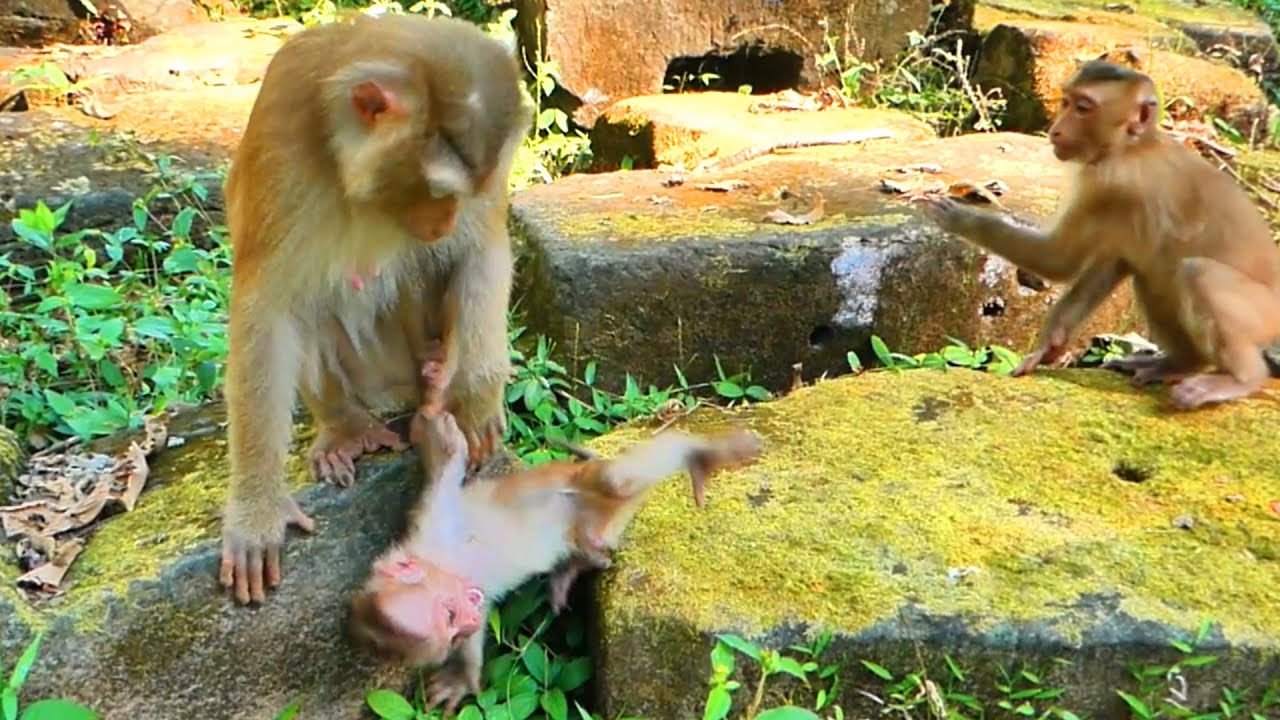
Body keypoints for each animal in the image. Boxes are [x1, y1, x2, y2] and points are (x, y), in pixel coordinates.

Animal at [218, 13, 533, 605]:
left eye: (464, 192)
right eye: (435, 189)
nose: (442, 223)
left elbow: (482, 248)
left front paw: (477, 397)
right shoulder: (280, 132)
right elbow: (268, 309)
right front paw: (255, 511)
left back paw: (438, 378)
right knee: (309, 305)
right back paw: (347, 427)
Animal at [350, 410, 763, 715]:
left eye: (450, 615)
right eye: (454, 632)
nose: (465, 623)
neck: (444, 562)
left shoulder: (435, 523)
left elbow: (448, 466)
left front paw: (436, 433)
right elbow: (480, 622)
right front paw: (463, 676)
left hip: (594, 486)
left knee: (617, 480)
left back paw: (700, 456)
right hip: (603, 524)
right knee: (595, 535)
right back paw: (574, 567)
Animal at [920, 60, 1280, 409]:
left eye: (1083, 107)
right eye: (1066, 102)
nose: (1055, 129)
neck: (1134, 145)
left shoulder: (1107, 185)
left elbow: (1060, 260)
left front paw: (961, 218)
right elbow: (1113, 263)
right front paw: (1050, 345)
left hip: (1264, 314)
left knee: (1197, 273)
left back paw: (1240, 379)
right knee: (1152, 276)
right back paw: (1181, 364)